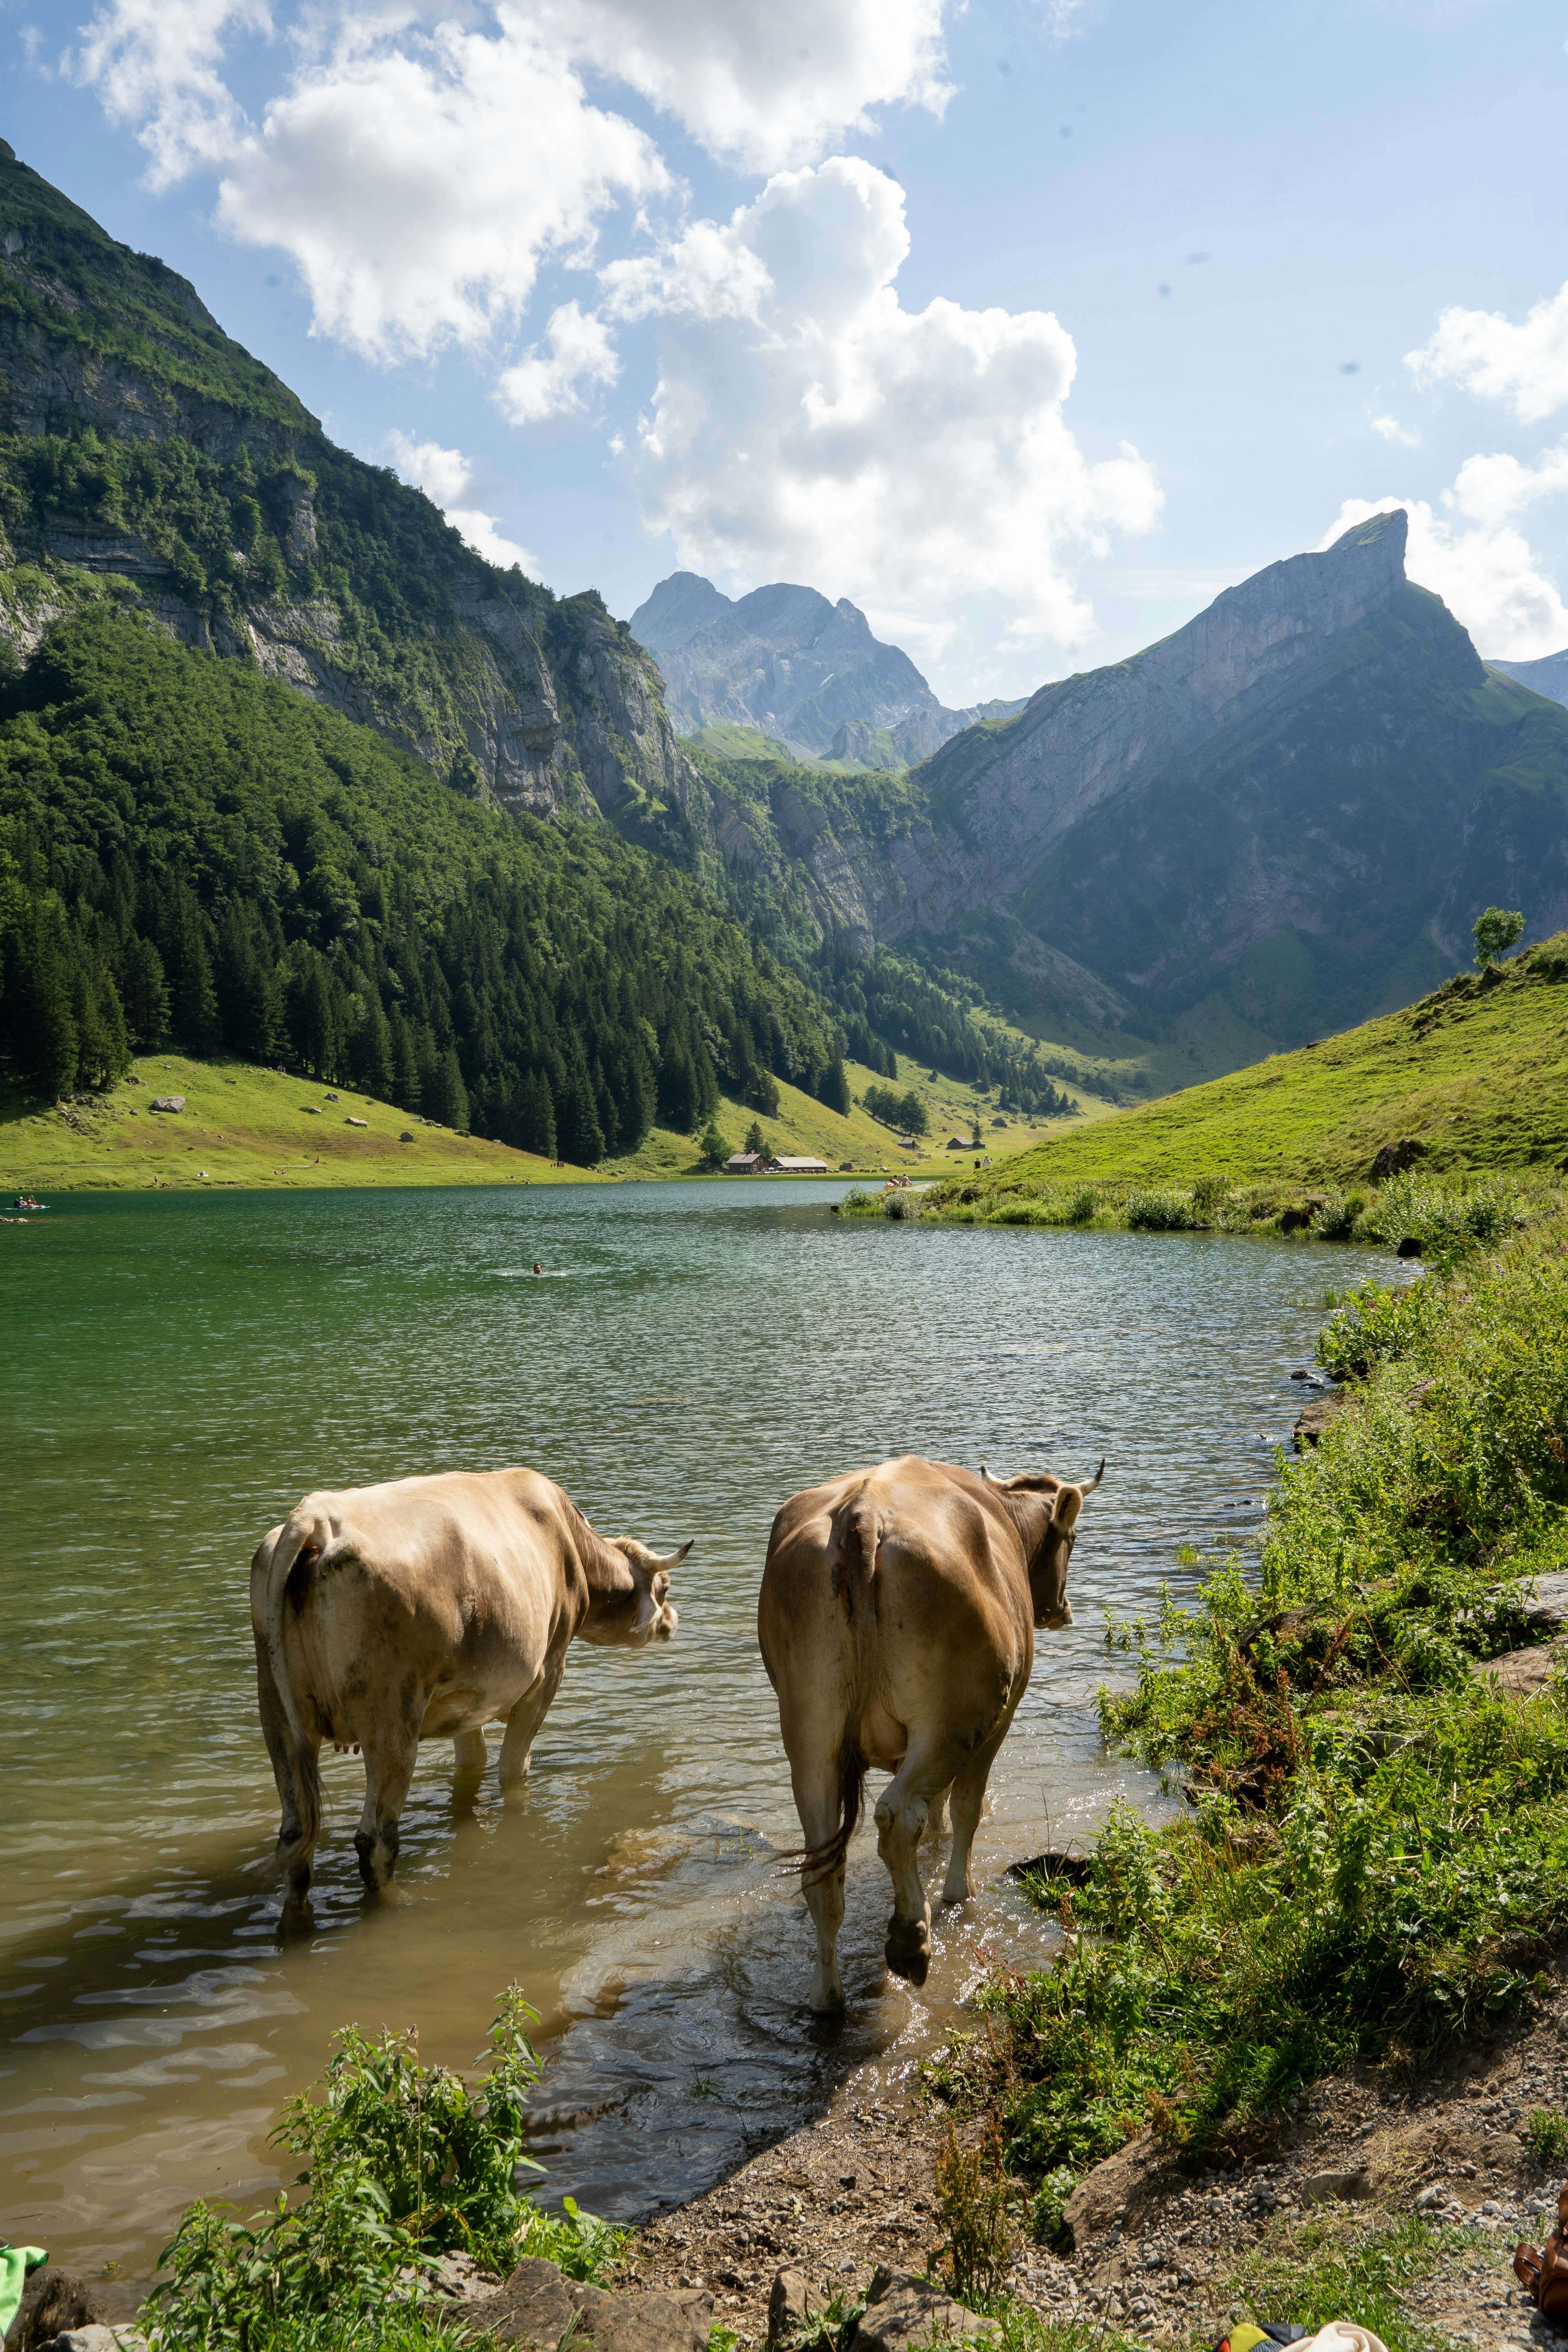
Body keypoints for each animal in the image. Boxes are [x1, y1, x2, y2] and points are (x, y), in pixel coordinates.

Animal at [250, 1467, 688, 1900]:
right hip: (391, 1719)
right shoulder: (547, 1675)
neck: (572, 1549)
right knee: (374, 1839)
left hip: (278, 1715)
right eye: (665, 1587)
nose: (672, 1621)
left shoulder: (467, 1701)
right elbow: (513, 1769)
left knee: (296, 1837)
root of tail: (318, 1515)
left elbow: (472, 1759)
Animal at [757, 1452, 1103, 2013]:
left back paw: (826, 1995)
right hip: (950, 1722)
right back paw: (909, 1941)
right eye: (1071, 1538)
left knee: (823, 1866)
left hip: (811, 1735)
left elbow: (937, 1805)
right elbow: (965, 1805)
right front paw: (958, 1889)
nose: (1063, 1610)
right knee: (897, 1816)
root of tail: (863, 1513)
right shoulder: (997, 1718)